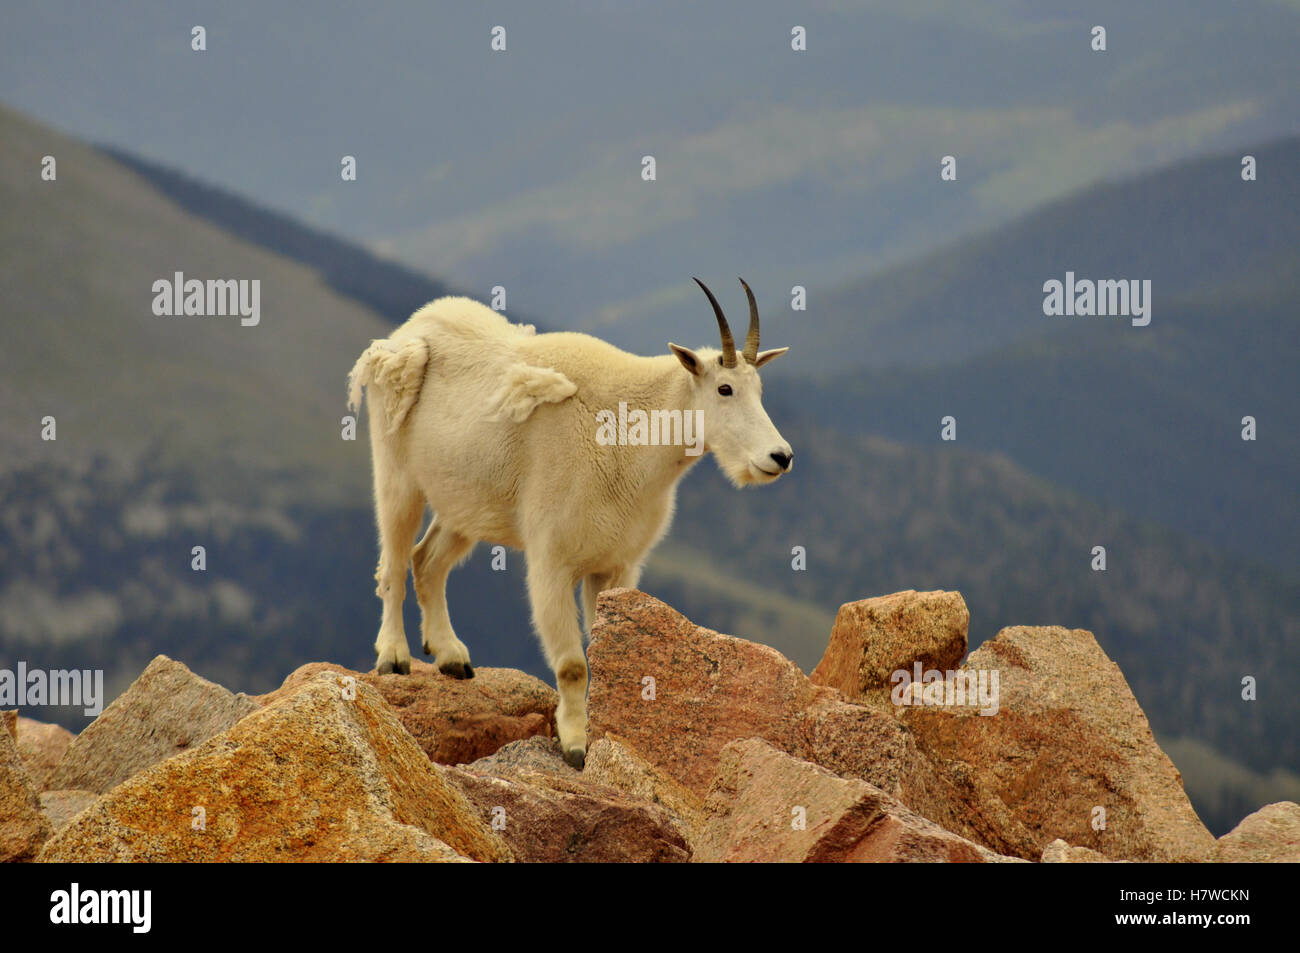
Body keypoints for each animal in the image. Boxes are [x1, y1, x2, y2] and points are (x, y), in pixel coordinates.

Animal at [346, 278, 792, 768]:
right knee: (393, 562)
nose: (780, 457)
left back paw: (451, 657)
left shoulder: (616, 566)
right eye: (725, 389)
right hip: (396, 470)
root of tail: (404, 333)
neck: (631, 434)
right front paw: (575, 746)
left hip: (465, 502)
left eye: (760, 390)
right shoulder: (552, 561)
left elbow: (604, 653)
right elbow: (574, 665)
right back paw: (394, 656)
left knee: (427, 561)